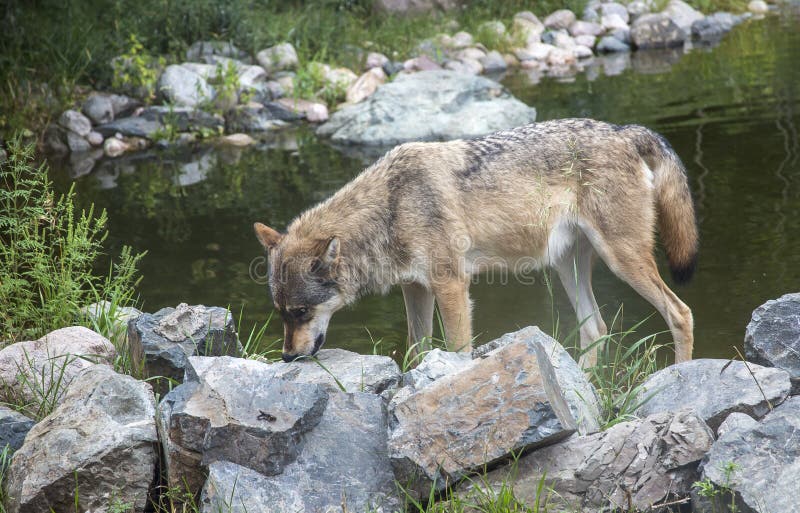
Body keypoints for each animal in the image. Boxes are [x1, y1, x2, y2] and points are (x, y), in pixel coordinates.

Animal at [254, 119, 698, 366]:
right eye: (281, 314)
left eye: (300, 312)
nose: (287, 357)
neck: (392, 206)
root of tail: (627, 131)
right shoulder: (415, 289)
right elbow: (416, 350)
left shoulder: (451, 286)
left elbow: (457, 349)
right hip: (568, 269)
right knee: (597, 330)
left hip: (622, 260)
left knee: (680, 313)